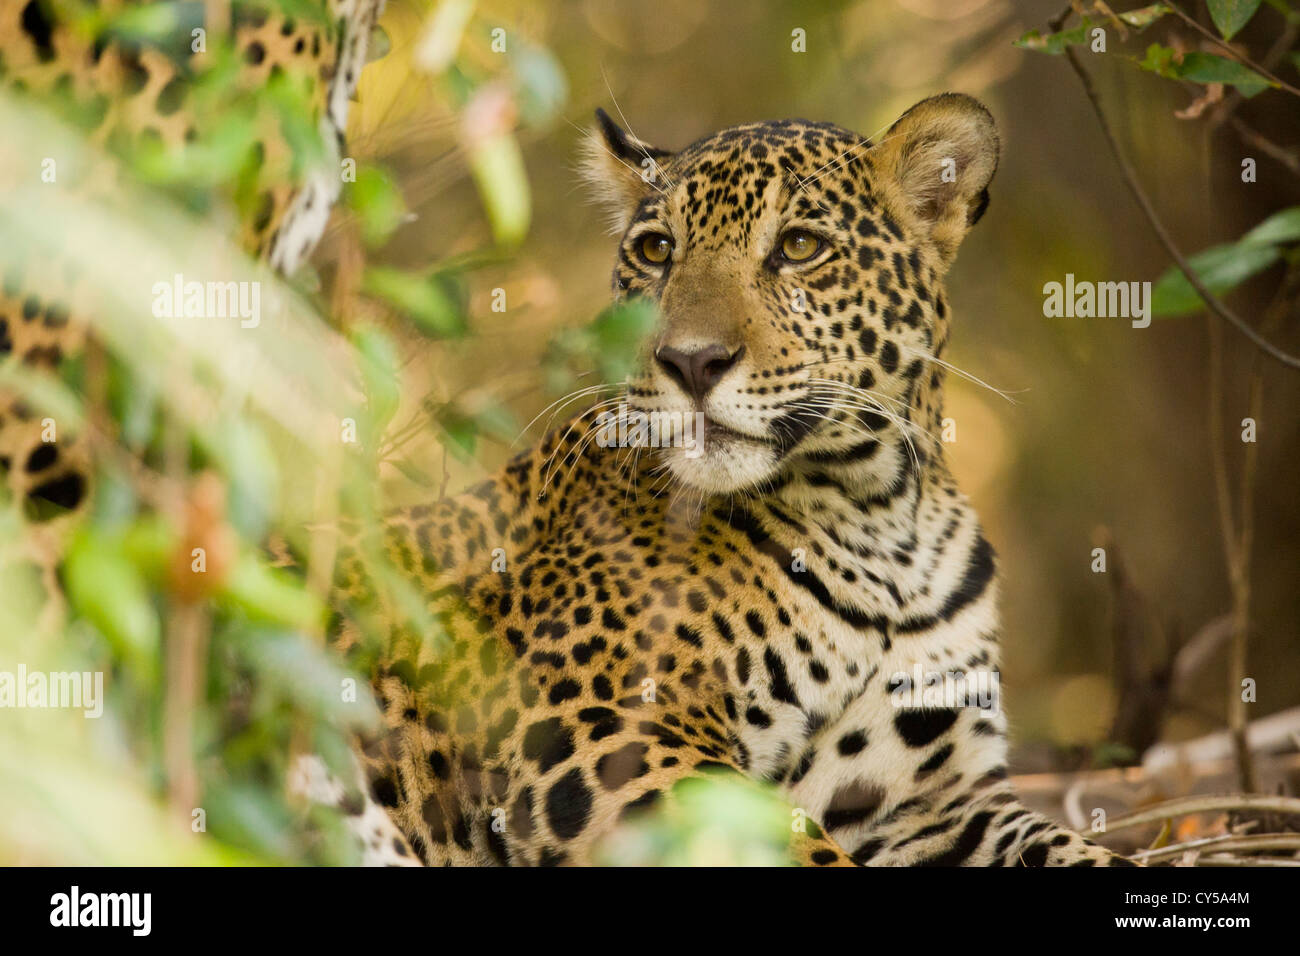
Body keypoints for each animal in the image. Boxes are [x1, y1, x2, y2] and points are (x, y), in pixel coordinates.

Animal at [326, 93, 1138, 866]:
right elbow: (799, 851)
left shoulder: (926, 801)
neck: (875, 518)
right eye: (655, 250)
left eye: (800, 247)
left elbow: (1072, 849)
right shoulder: (594, 728)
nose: (691, 361)